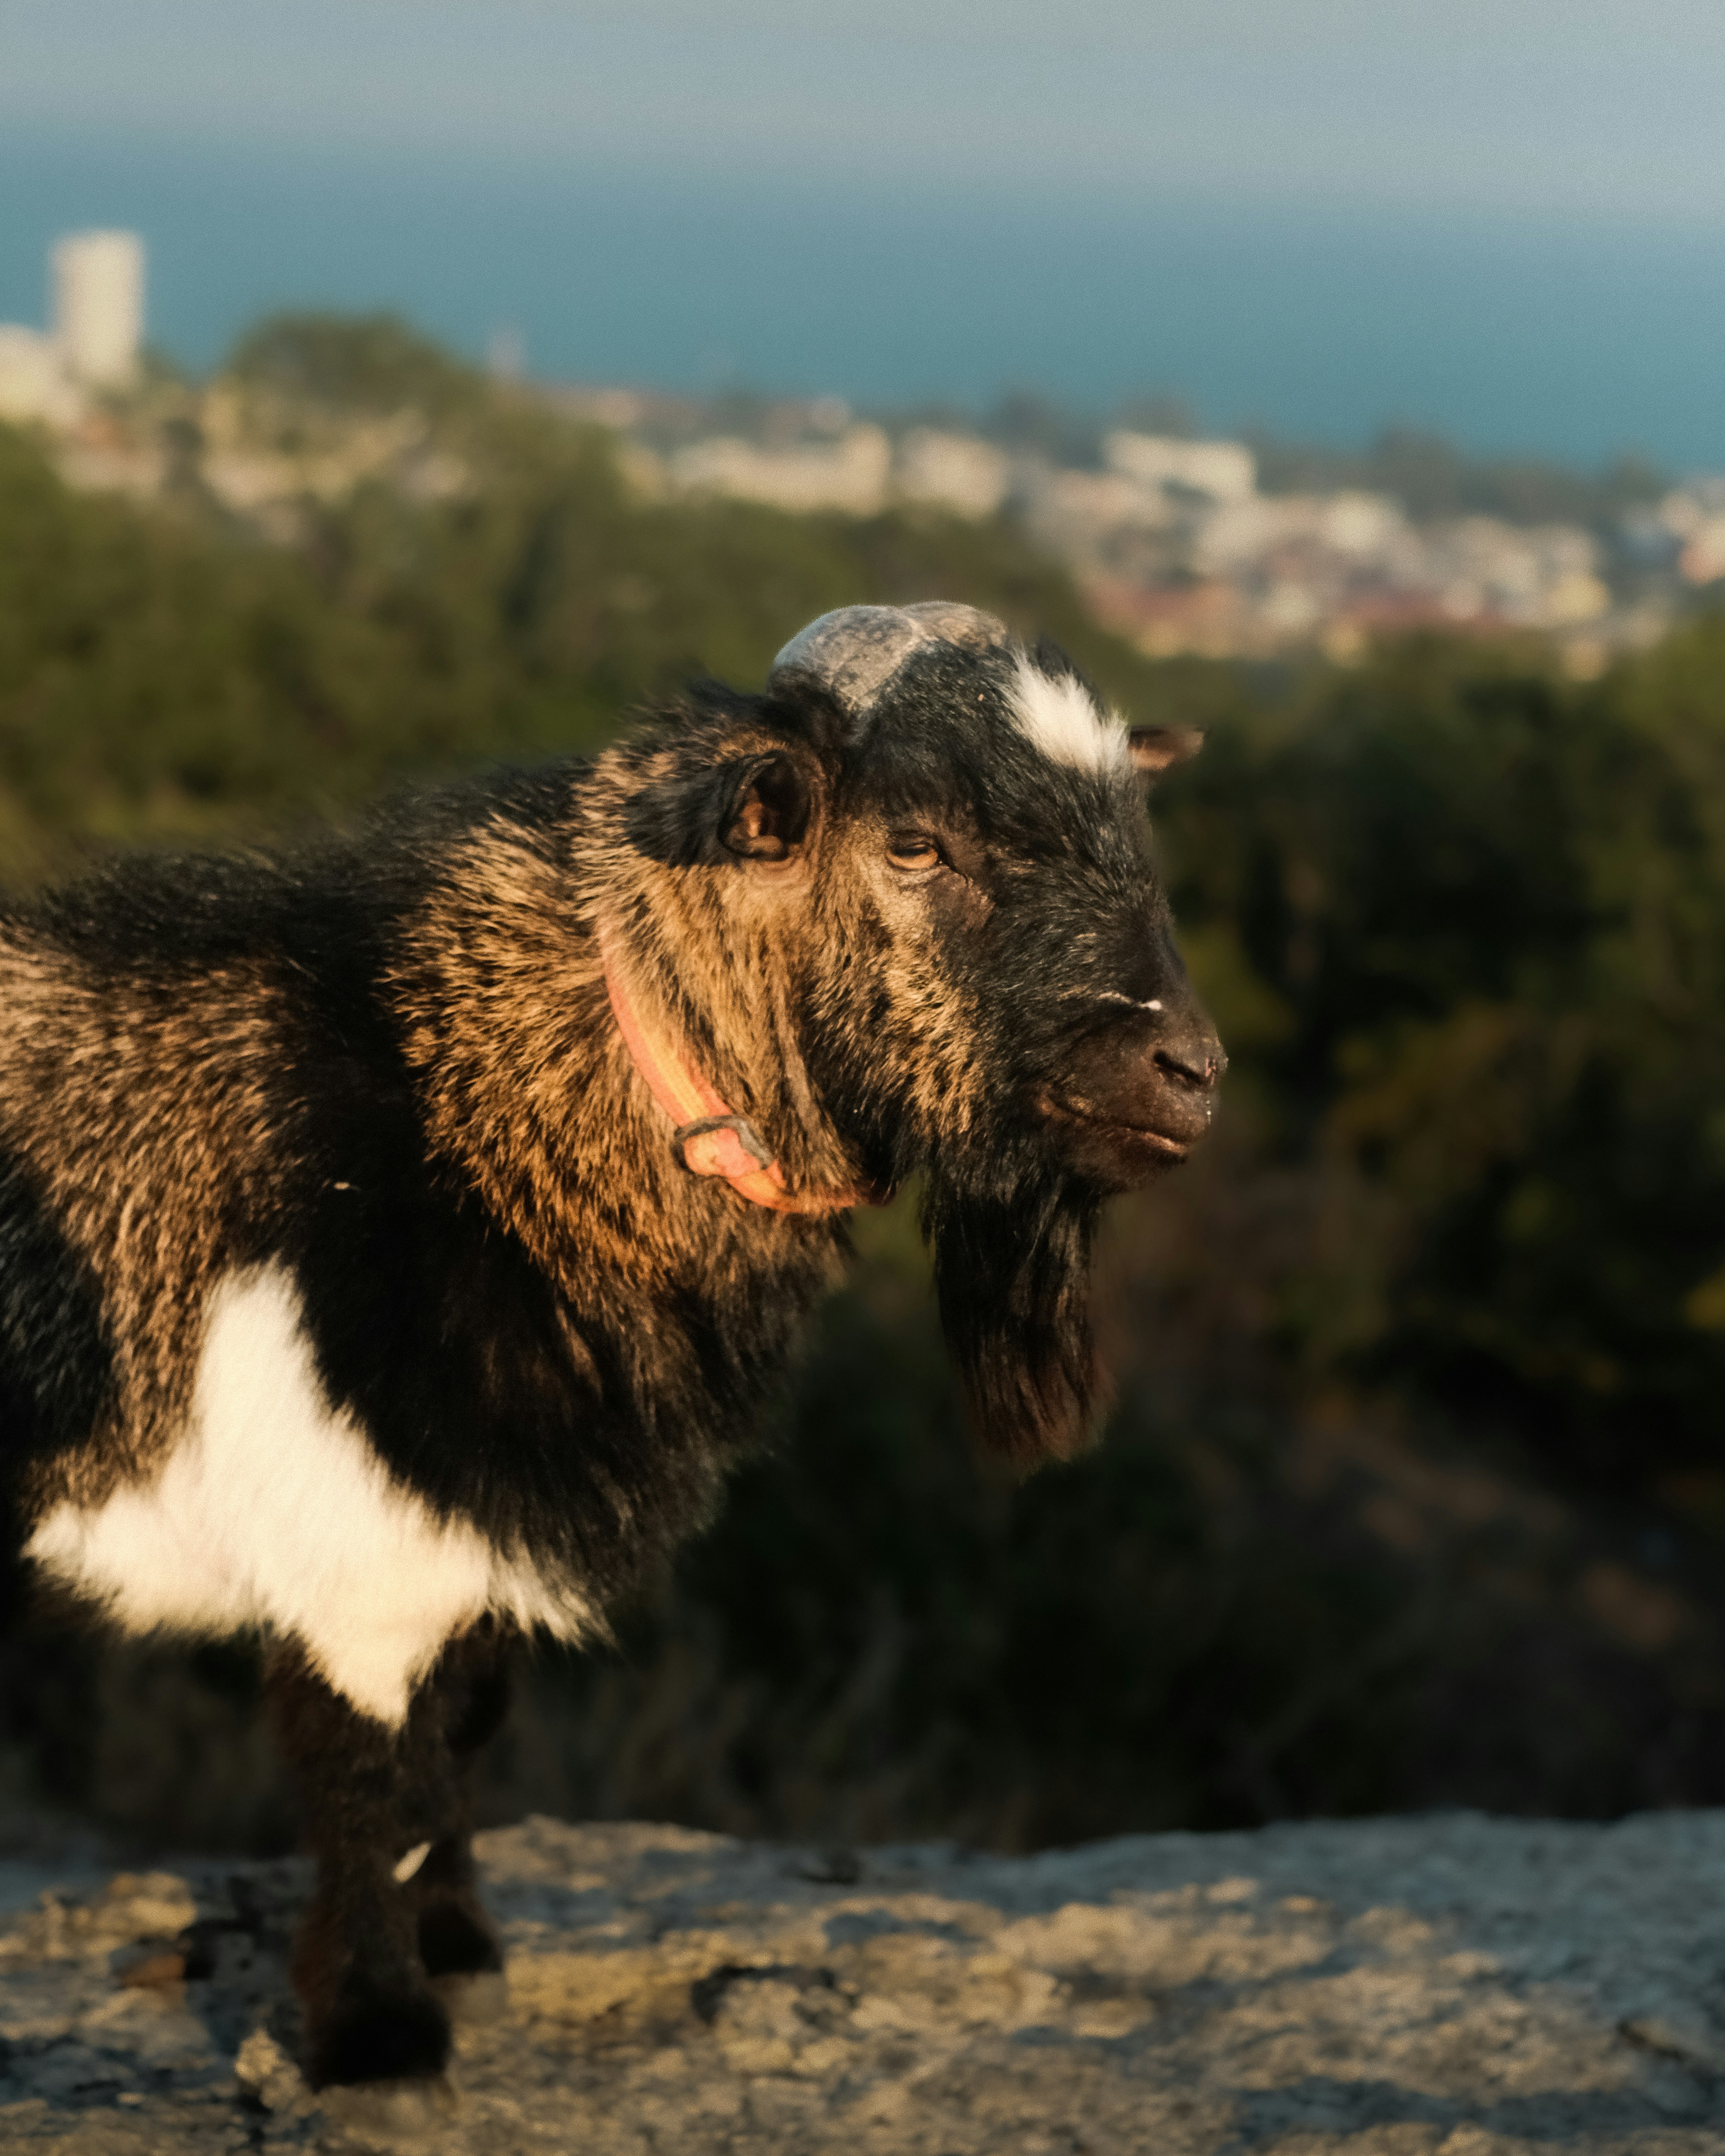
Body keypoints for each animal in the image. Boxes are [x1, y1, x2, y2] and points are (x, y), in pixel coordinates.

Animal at [0, 602, 1223, 2085]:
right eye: (917, 842)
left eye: (1134, 829)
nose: (1190, 1072)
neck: (457, 1119)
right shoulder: (357, 1541)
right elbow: (372, 1776)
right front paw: (380, 2029)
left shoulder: (477, 1535)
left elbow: (460, 1730)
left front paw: (458, 1943)